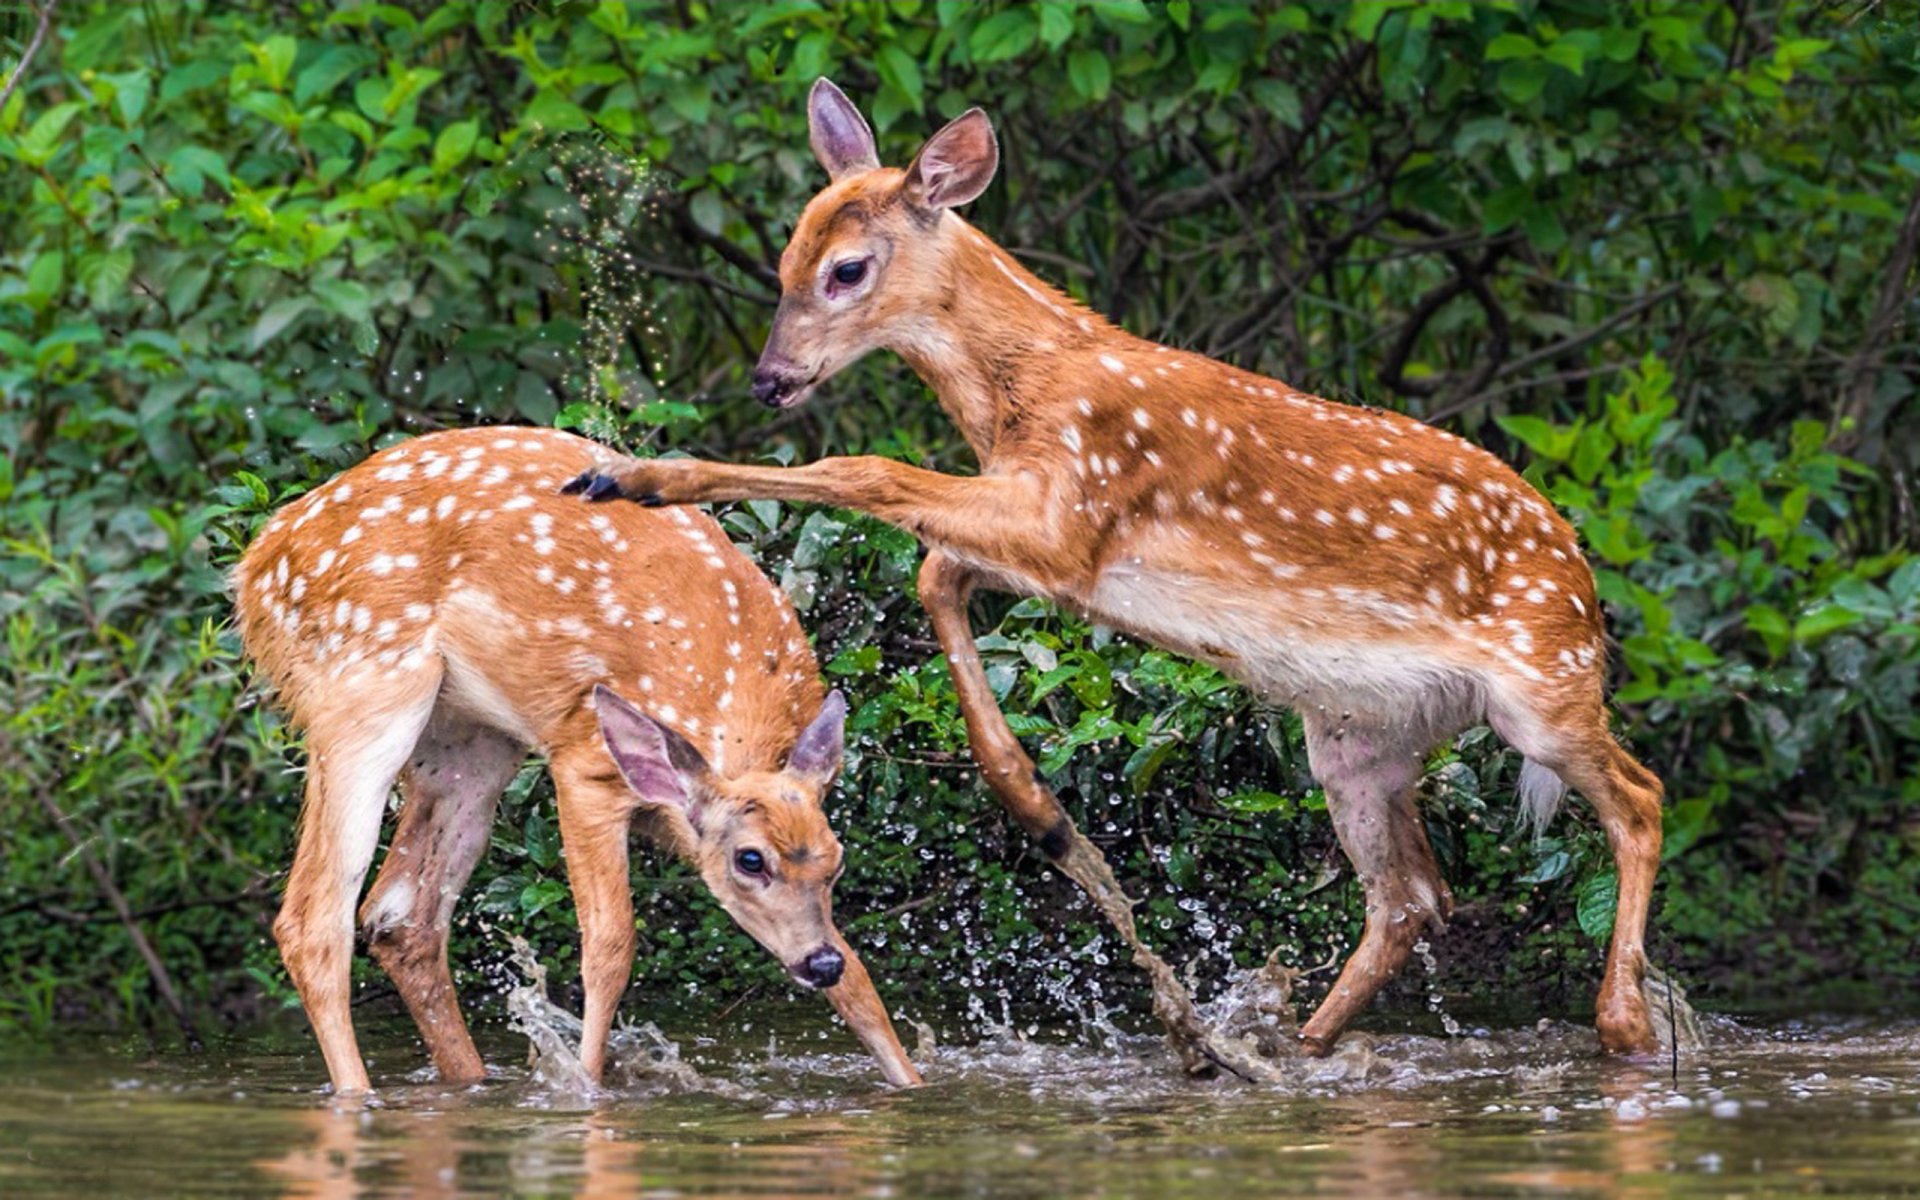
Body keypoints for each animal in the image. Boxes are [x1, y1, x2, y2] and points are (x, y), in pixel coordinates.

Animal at [233, 424, 921, 1095]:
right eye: (749, 860)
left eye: (836, 860)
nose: (818, 962)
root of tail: (256, 561)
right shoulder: (585, 761)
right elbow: (611, 946)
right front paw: (587, 1088)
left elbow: (861, 982)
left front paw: (910, 1082)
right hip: (364, 687)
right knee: (313, 919)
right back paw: (359, 1094)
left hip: (470, 741)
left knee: (400, 917)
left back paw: (470, 1079)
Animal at [563, 79, 1668, 1063]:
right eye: (785, 259)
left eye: (845, 270)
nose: (772, 379)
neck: (1022, 393)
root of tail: (1581, 574)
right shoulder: (1053, 539)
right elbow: (932, 575)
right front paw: (1047, 816)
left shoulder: (1076, 511)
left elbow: (862, 471)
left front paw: (629, 474)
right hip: (1358, 736)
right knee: (1412, 897)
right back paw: (1259, 1046)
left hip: (1543, 687)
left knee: (1641, 797)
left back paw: (1621, 1024)